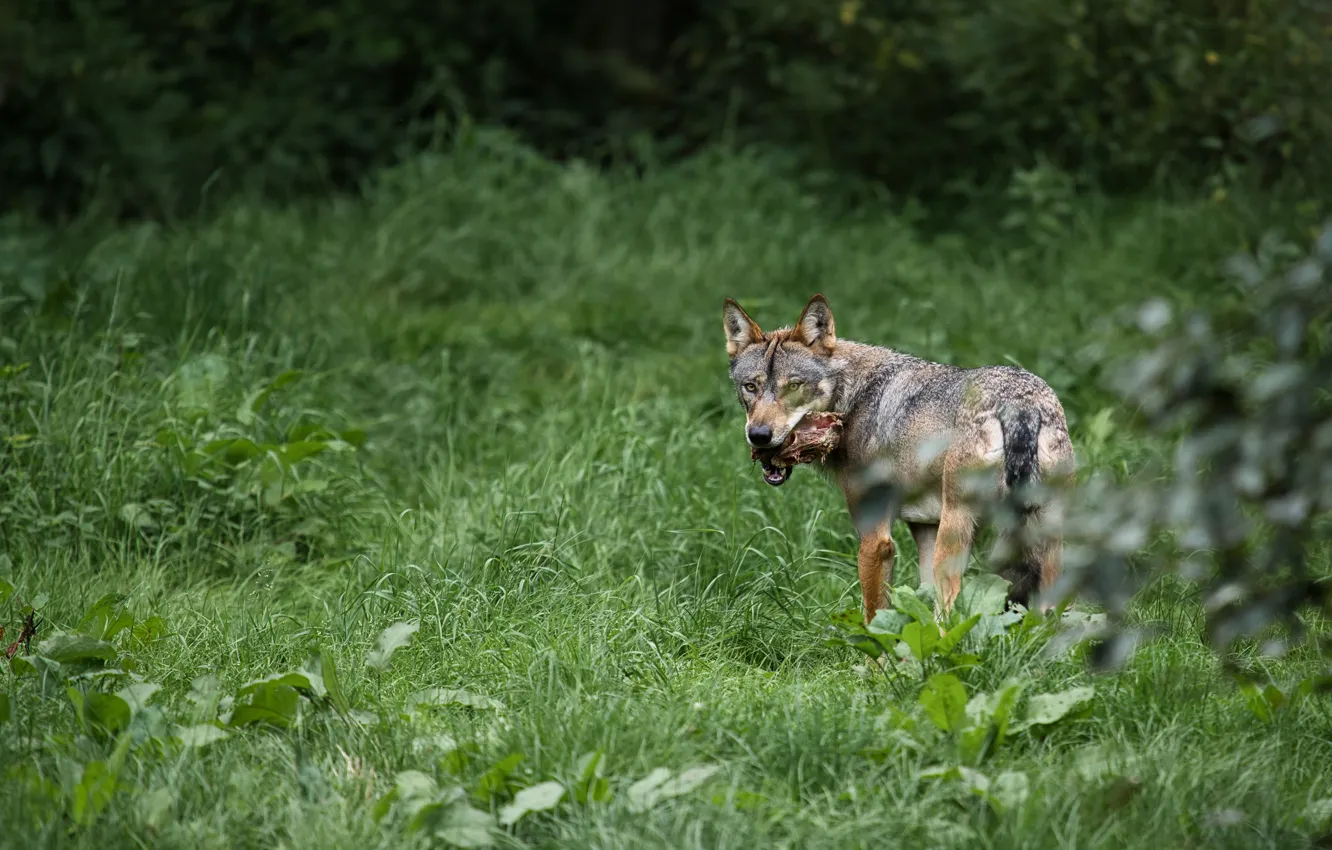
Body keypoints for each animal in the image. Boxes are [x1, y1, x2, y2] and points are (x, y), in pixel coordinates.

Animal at [722, 294, 1076, 624]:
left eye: (794, 386)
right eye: (750, 387)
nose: (759, 435)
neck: (852, 397)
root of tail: (1019, 406)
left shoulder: (875, 540)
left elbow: (875, 617)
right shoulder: (924, 528)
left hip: (958, 537)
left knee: (949, 615)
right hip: (1046, 551)